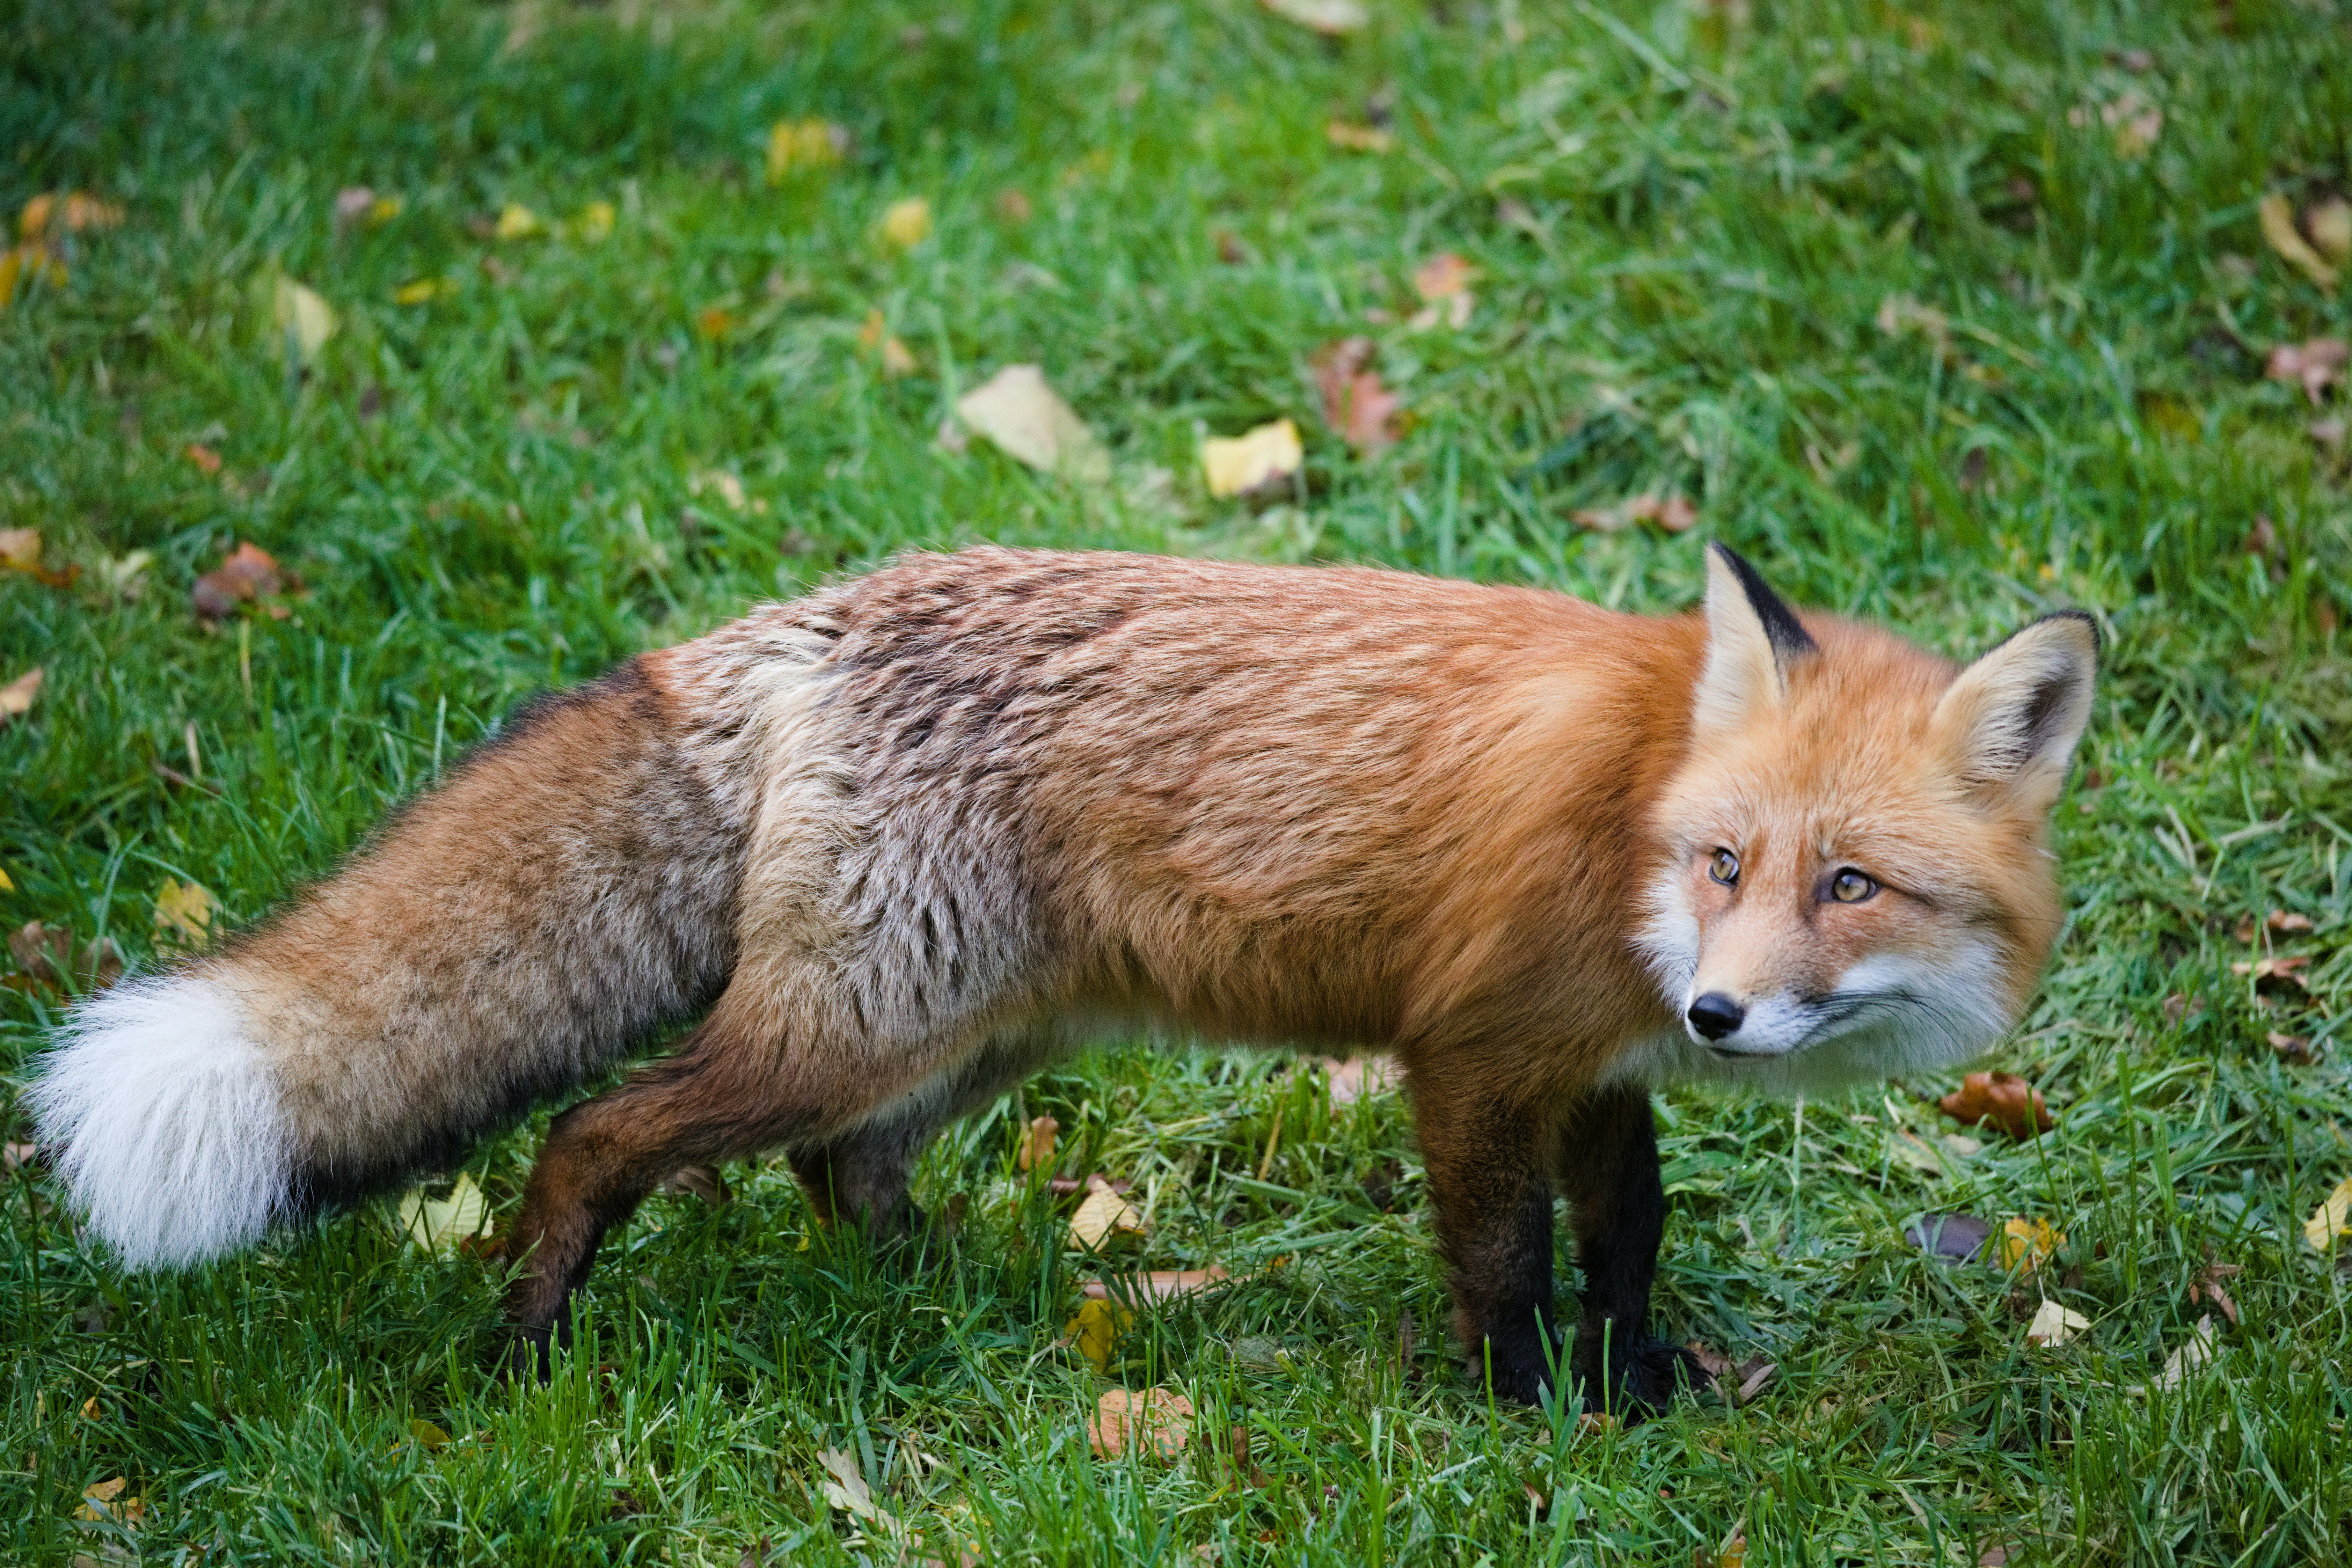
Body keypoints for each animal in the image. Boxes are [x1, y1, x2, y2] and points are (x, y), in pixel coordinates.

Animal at [27, 542, 2096, 1412]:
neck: (1630, 808)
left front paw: (1646, 1379)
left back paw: (945, 1299)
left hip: (961, 1041)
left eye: (1847, 881)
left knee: (837, 1172)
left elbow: (1628, 1234)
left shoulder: (1589, 1069)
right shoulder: (1472, 1053)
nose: (1723, 1014)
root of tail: (809, 615)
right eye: (1728, 864)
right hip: (847, 1030)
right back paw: (525, 1342)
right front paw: (1536, 1418)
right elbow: (1504, 1261)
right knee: (599, 1133)